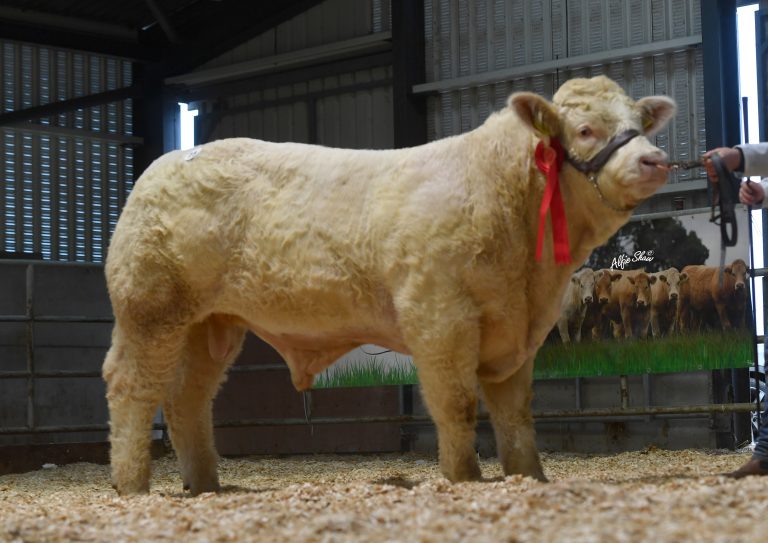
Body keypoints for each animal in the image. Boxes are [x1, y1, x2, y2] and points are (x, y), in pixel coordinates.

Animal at [102, 75, 674, 495]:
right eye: (585, 130)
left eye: (639, 122)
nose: (654, 159)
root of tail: (163, 165)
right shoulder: (439, 316)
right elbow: (455, 403)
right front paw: (464, 479)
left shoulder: (517, 330)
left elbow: (516, 412)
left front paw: (528, 476)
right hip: (149, 309)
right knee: (131, 387)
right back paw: (132, 486)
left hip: (211, 323)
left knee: (187, 398)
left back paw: (205, 486)